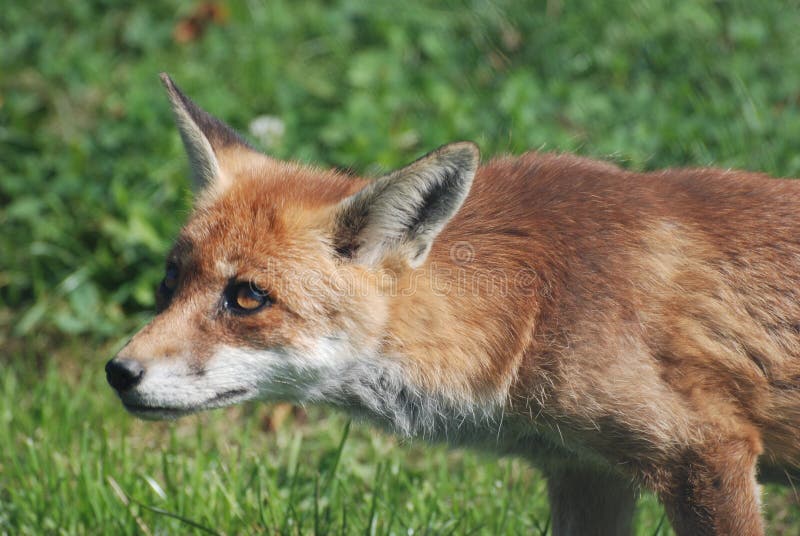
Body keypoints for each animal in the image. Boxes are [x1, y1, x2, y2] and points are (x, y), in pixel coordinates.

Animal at [105, 73, 800, 535]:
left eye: (247, 297)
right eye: (170, 283)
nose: (118, 372)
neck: (536, 309)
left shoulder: (704, 453)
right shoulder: (585, 472)